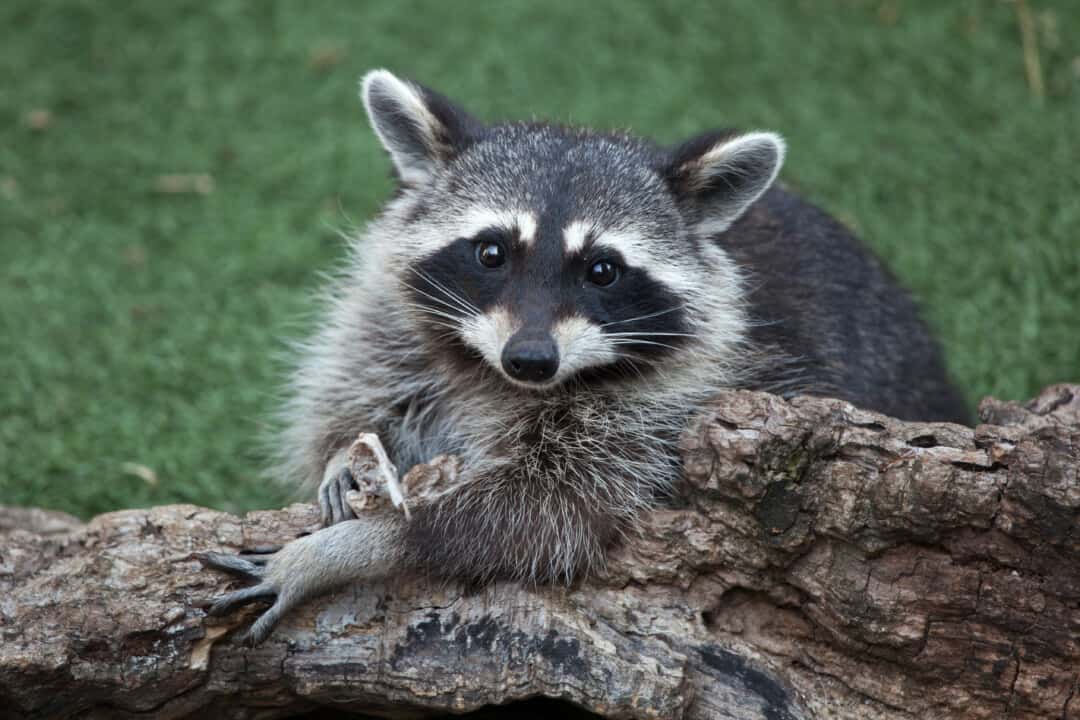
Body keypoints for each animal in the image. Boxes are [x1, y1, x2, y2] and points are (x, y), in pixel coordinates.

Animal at [200, 70, 968, 644]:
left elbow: (537, 515)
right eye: (491, 252)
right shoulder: (390, 316)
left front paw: (362, 546)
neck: (495, 377)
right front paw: (348, 450)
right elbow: (351, 382)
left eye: (602, 271)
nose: (531, 359)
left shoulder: (668, 408)